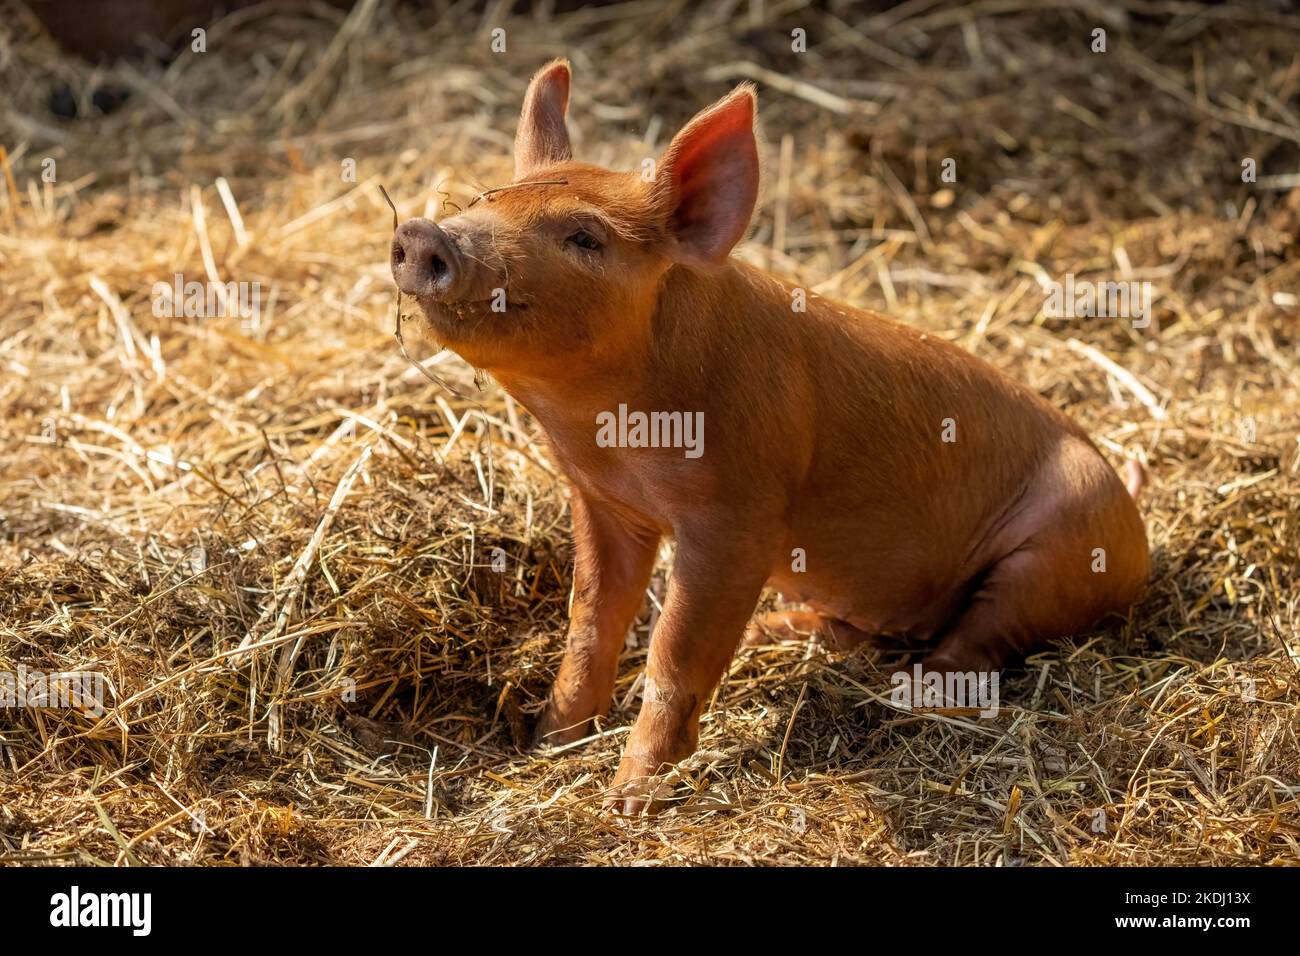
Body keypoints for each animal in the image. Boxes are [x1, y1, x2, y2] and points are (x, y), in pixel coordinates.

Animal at [390, 60, 1149, 813]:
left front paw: (628, 799)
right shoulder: (603, 504)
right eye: (486, 197)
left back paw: (905, 697)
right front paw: (546, 740)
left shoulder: (738, 518)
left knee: (976, 641)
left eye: (585, 238)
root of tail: (1138, 534)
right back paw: (774, 631)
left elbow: (676, 650)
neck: (612, 436)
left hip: (1056, 551)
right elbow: (591, 622)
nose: (426, 234)